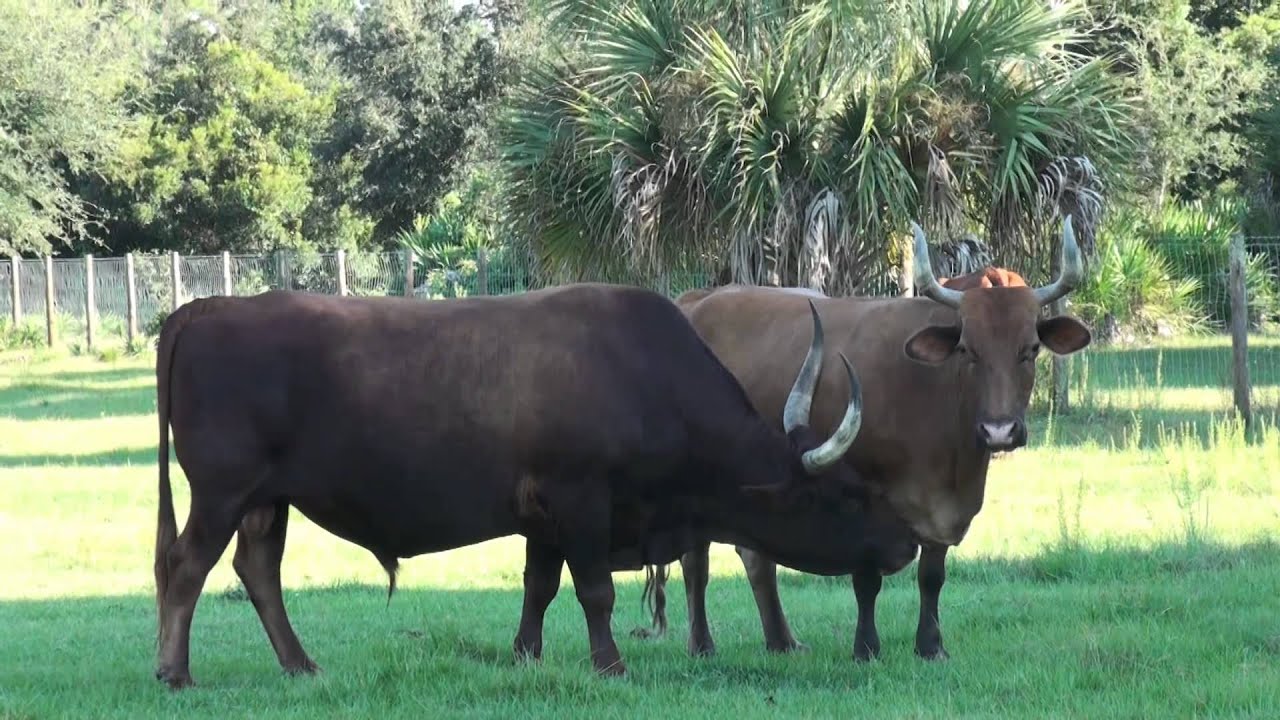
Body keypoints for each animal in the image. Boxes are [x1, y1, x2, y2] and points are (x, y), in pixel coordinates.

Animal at [152, 283, 920, 689]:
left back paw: (300, 664)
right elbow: (594, 590)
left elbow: (538, 586)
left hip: (265, 500)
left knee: (256, 569)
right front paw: (609, 663)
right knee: (185, 568)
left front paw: (525, 654)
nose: (908, 542)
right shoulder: (581, 501)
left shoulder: (542, 519)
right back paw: (175, 672)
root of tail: (208, 307)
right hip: (223, 491)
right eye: (847, 495)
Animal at [641, 217, 1091, 661]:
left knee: (755, 556)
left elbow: (932, 575)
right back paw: (702, 644)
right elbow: (866, 579)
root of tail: (697, 299)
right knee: (696, 562)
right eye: (967, 349)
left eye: (1030, 349)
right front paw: (866, 648)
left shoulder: (942, 509)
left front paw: (930, 646)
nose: (999, 431)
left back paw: (781, 641)